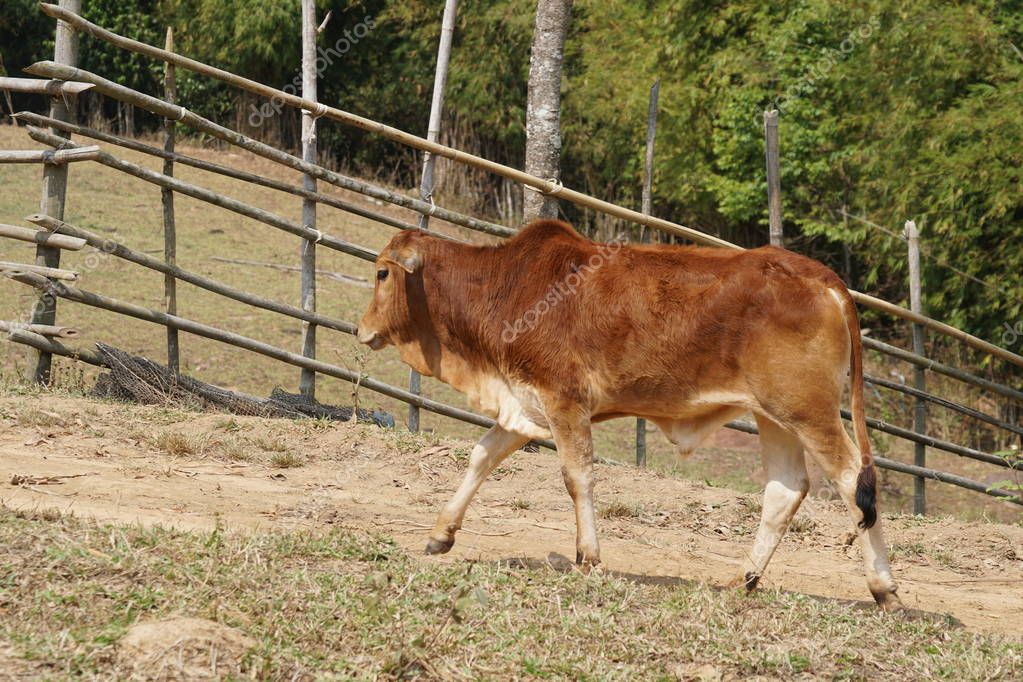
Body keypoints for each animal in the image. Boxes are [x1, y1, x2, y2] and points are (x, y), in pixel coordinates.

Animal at [356, 219, 901, 610]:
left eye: (382, 272)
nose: (361, 329)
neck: (506, 287)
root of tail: (825, 278)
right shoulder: (526, 405)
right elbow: (480, 457)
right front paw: (440, 534)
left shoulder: (563, 401)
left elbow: (577, 477)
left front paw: (588, 556)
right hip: (774, 416)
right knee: (786, 490)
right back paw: (742, 579)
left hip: (809, 413)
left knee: (853, 480)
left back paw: (883, 588)